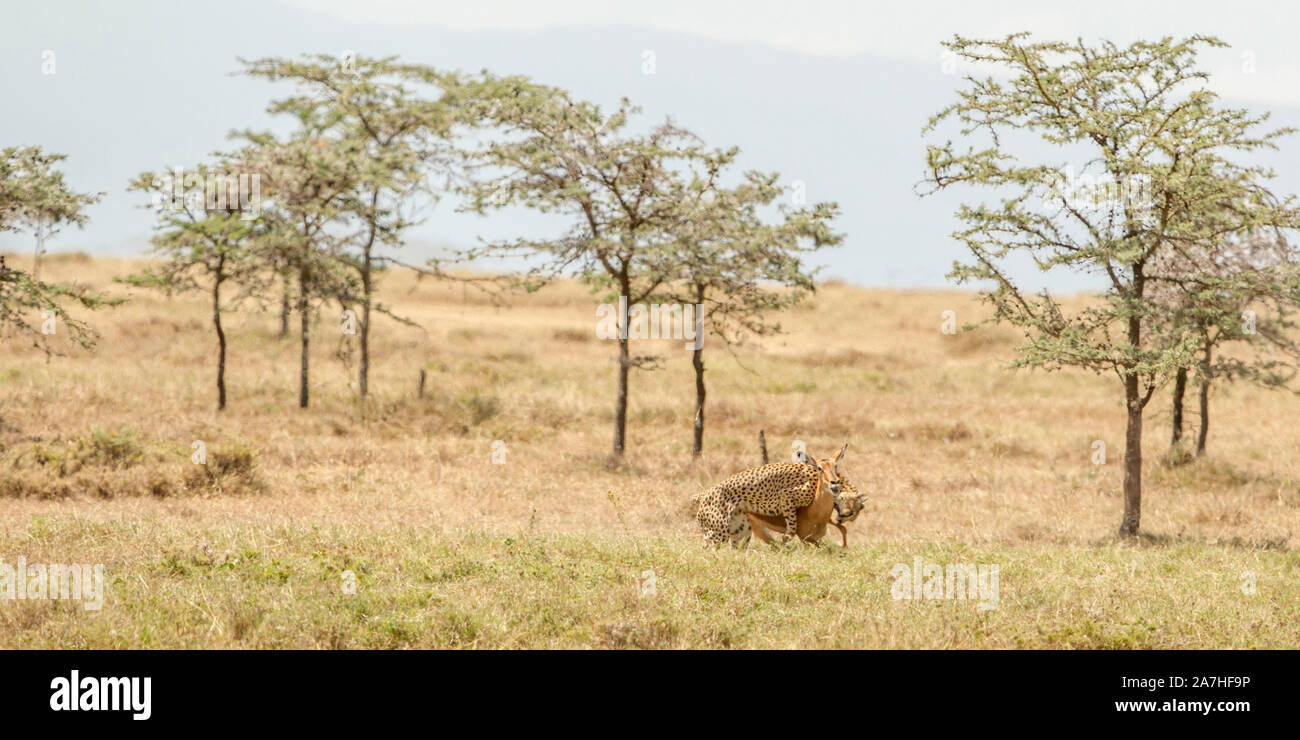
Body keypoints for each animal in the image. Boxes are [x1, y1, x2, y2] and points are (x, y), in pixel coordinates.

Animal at [695, 443, 847, 547]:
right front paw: (783, 546)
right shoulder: (786, 497)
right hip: (719, 533)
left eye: (836, 466)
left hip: (740, 533)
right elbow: (791, 531)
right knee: (706, 548)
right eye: (820, 468)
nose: (835, 482)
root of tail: (704, 494)